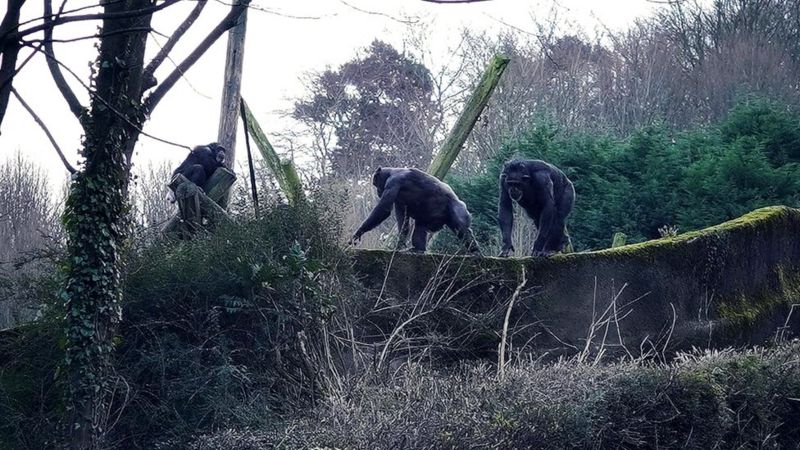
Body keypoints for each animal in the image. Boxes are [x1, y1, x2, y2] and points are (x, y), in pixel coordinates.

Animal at [350, 167, 480, 254]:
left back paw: (475, 251)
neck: (392, 172)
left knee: (462, 230)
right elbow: (403, 220)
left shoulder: (393, 182)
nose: (377, 192)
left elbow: (383, 209)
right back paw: (417, 249)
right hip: (431, 220)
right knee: (420, 228)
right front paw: (399, 243)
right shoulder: (399, 201)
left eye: (375, 184)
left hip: (459, 211)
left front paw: (357, 234)